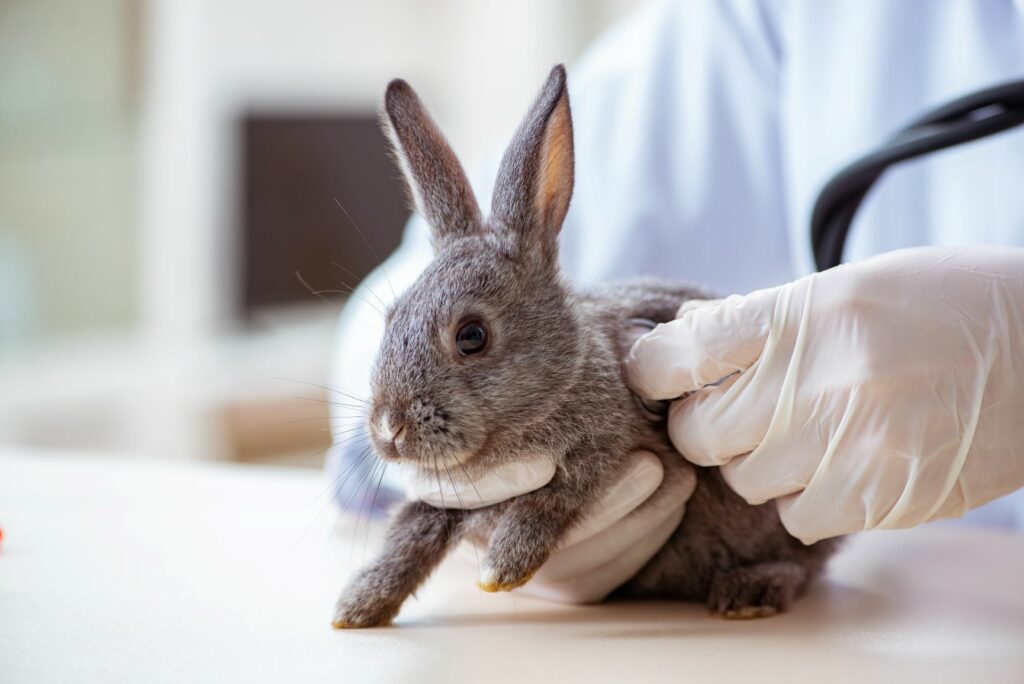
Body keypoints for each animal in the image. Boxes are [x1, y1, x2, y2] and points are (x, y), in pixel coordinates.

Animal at [332, 64, 840, 629]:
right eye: (390, 317)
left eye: (471, 336)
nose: (389, 428)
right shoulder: (442, 500)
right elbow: (408, 535)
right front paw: (358, 606)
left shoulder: (610, 454)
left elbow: (553, 499)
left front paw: (503, 567)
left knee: (805, 561)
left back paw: (751, 590)